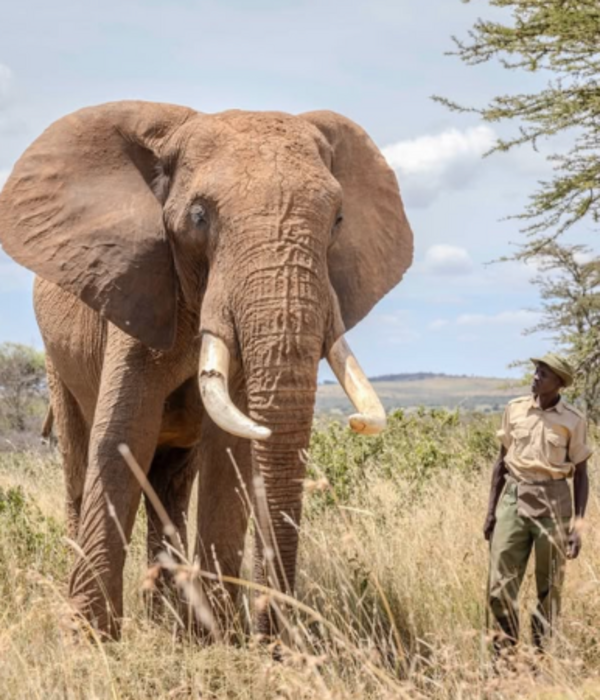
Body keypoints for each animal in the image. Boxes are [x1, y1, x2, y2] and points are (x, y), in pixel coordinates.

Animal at [0, 101, 413, 639]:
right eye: (199, 217)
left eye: (338, 219)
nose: (269, 630)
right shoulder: (138, 289)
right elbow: (123, 439)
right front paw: (90, 642)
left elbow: (228, 454)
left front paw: (215, 641)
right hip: (56, 358)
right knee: (79, 460)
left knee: (171, 481)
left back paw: (167, 620)